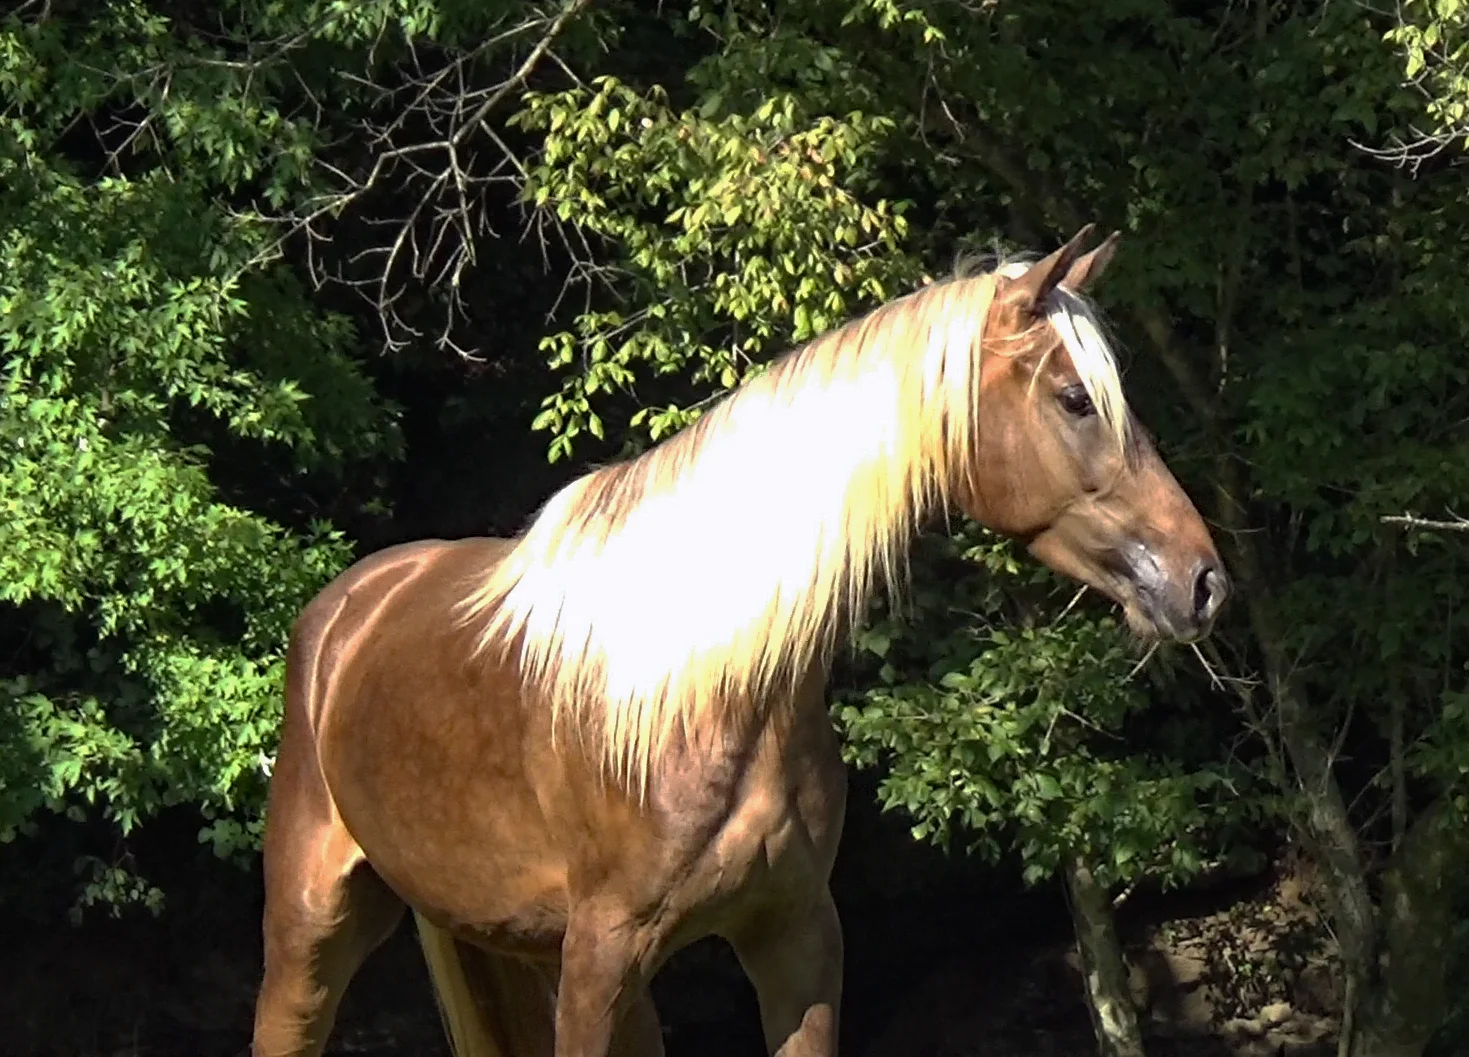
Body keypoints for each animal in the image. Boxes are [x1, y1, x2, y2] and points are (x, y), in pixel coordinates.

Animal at [250, 224, 1229, 1057]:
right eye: (1074, 399)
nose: (1202, 582)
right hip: (310, 934)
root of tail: (351, 606)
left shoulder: (794, 937)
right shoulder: (599, 959)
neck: (708, 690)